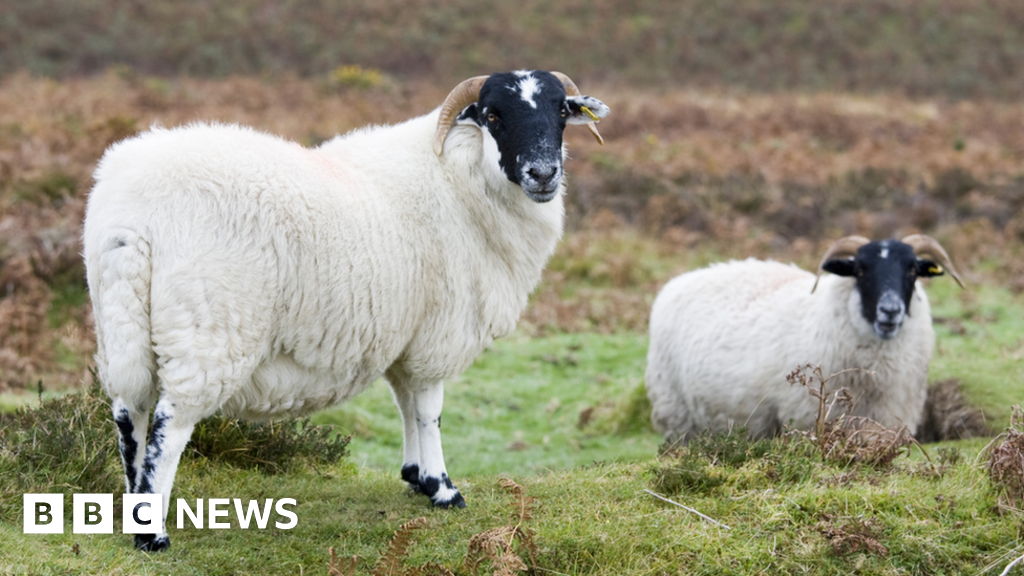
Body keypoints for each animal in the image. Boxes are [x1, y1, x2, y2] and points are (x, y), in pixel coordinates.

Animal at [82, 70, 609, 551]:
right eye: (494, 115)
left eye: (561, 111)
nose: (543, 174)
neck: (459, 175)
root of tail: (133, 215)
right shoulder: (437, 333)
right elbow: (429, 411)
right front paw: (443, 489)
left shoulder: (405, 333)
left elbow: (405, 402)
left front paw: (415, 475)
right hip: (208, 330)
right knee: (168, 428)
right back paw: (152, 535)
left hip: (121, 322)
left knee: (130, 415)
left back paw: (134, 511)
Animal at [645, 235, 963, 443]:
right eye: (860, 270)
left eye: (912, 270)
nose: (890, 310)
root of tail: (679, 281)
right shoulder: (806, 417)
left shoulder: (888, 421)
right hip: (677, 415)